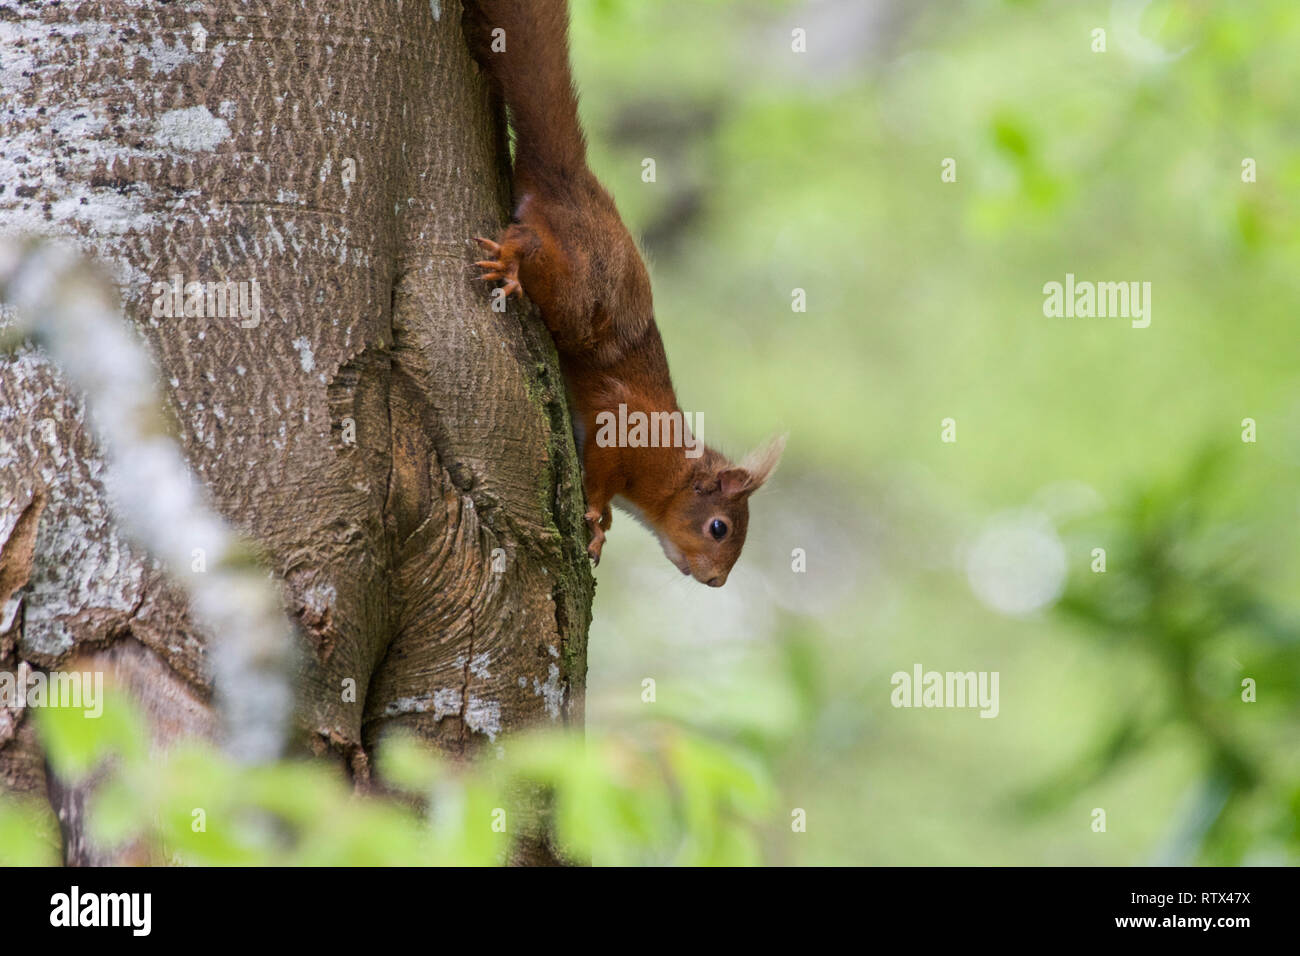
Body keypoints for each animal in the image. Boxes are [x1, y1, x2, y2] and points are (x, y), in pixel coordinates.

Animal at [463, 0, 784, 588]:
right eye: (720, 528)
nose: (716, 581)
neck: (675, 472)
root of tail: (574, 182)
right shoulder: (625, 431)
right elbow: (601, 477)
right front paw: (595, 514)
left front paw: (602, 527)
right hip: (581, 294)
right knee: (536, 251)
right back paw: (514, 259)